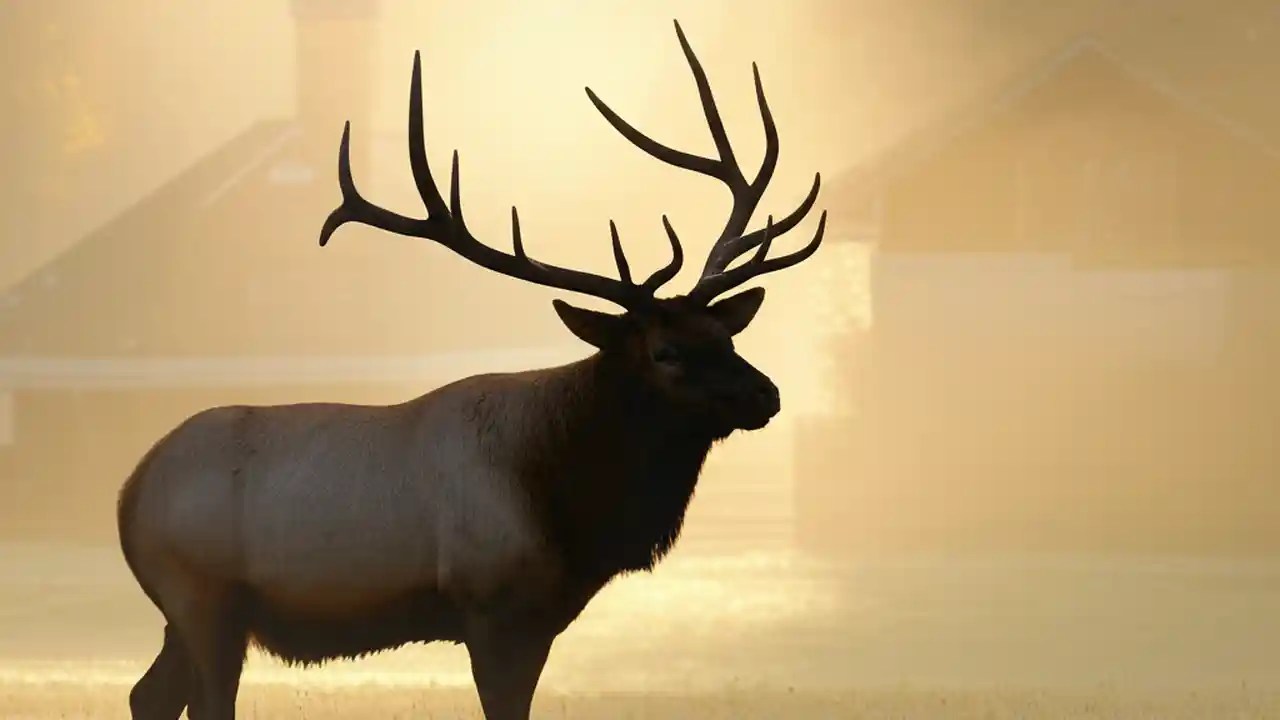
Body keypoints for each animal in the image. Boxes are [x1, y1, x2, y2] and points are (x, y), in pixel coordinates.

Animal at [117, 20, 825, 720]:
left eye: (724, 335)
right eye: (665, 352)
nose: (766, 393)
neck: (570, 509)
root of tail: (129, 493)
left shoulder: (539, 616)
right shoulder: (493, 606)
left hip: (189, 614)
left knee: (149, 694)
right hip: (203, 595)